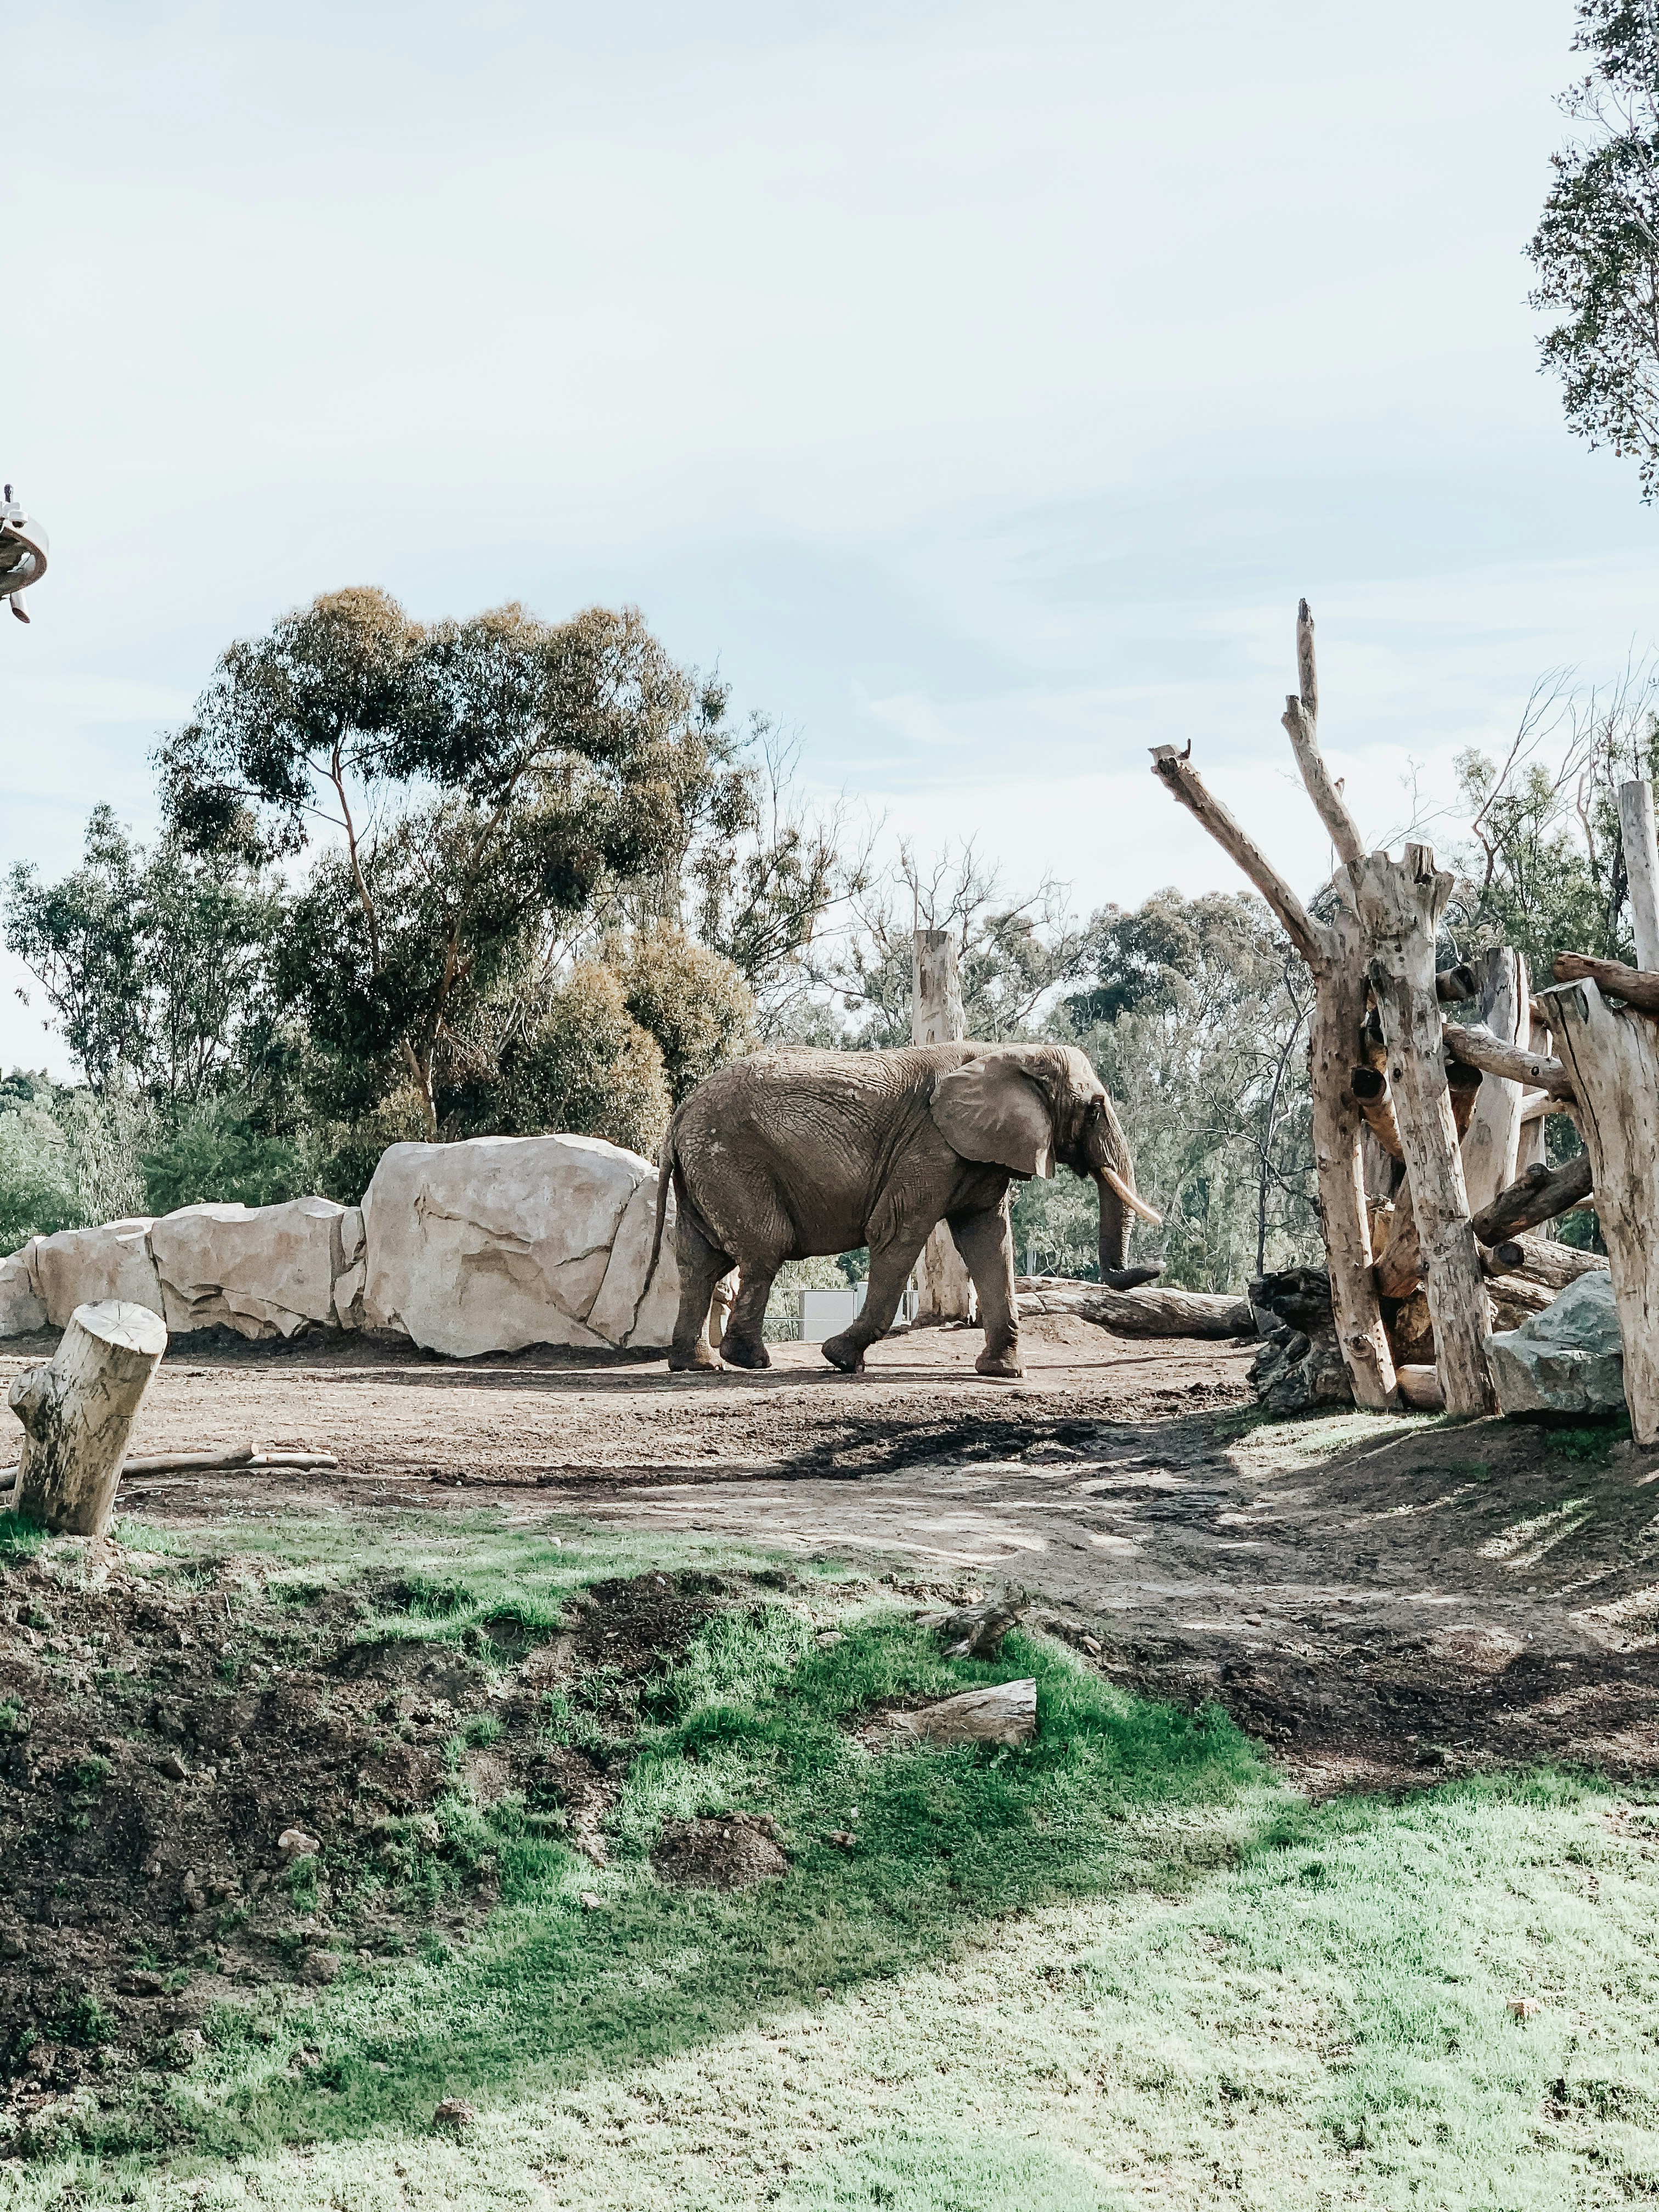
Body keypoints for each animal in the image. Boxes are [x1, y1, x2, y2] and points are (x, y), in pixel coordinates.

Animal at [644, 1040, 1161, 1378]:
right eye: (1094, 1109)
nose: (1156, 1268)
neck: (1010, 1052)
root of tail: (679, 1115)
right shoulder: (930, 1146)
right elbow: (897, 1233)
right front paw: (840, 1358)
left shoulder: (977, 1153)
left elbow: (989, 1242)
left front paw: (1002, 1373)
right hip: (732, 1161)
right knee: (764, 1251)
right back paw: (749, 1361)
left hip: (707, 1167)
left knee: (699, 1261)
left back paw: (696, 1365)